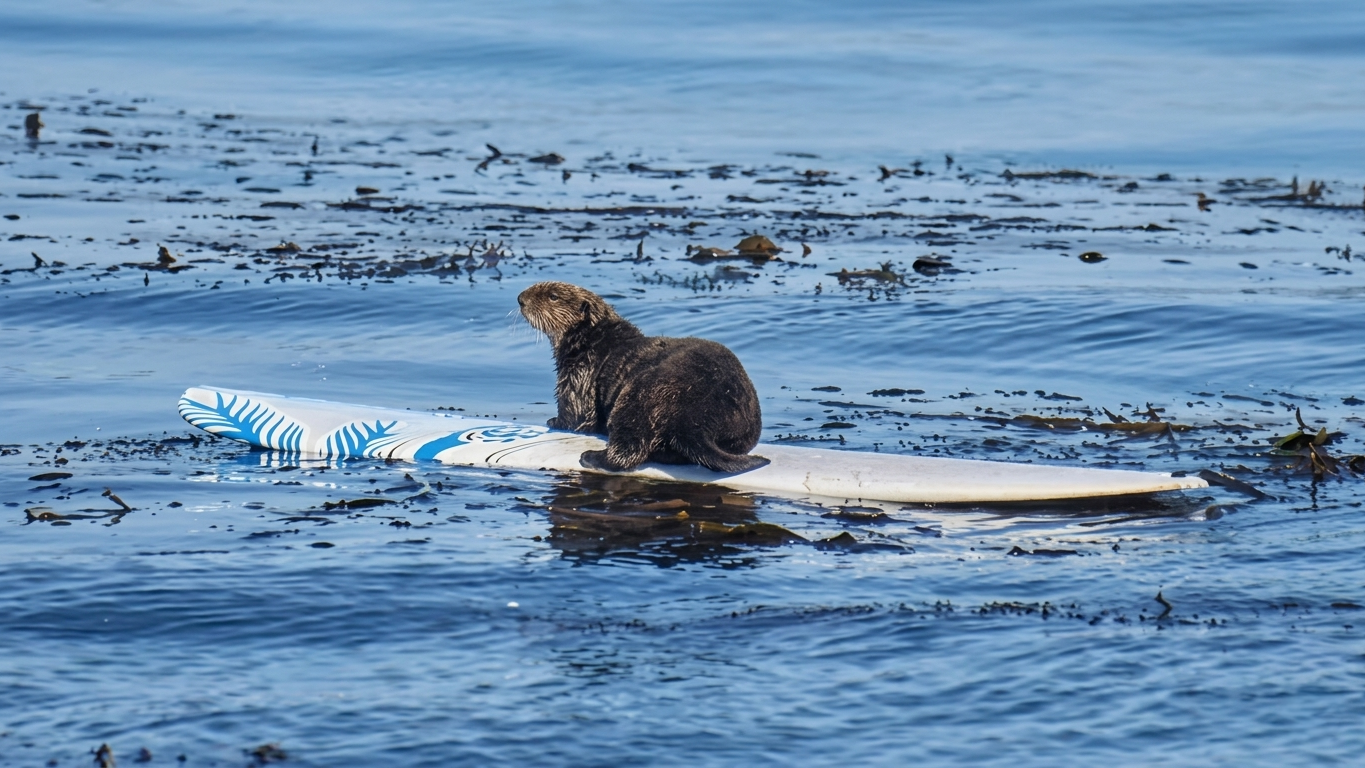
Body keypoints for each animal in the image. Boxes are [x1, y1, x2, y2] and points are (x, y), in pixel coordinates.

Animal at [518, 281, 766, 473]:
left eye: (553, 296)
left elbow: (574, 415)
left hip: (641, 394)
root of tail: (696, 420)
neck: (593, 338)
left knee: (627, 449)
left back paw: (590, 456)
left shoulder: (579, 374)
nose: (520, 299)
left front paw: (553, 421)